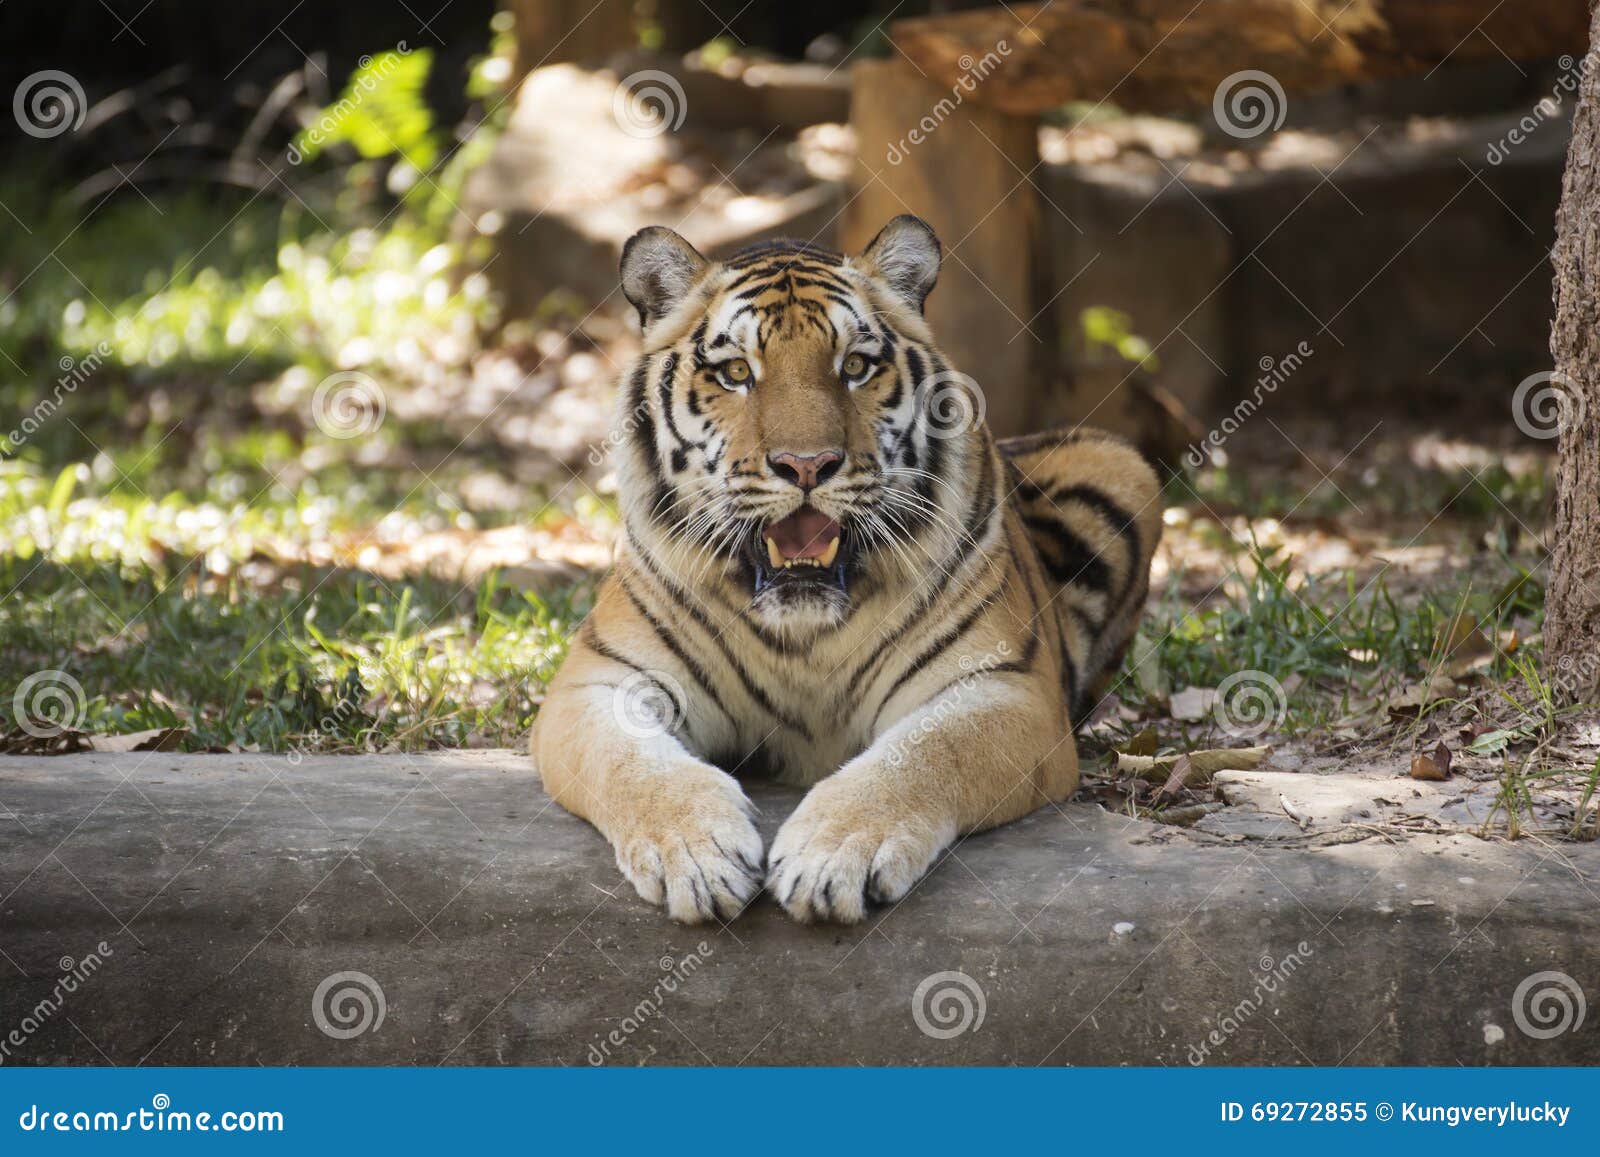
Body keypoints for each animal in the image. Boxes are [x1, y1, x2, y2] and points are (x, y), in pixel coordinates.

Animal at [532, 215, 1162, 925]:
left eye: (855, 367)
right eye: (735, 372)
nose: (807, 465)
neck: (803, 633)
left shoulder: (1003, 687)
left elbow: (925, 755)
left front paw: (831, 856)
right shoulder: (600, 682)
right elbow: (633, 764)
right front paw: (697, 853)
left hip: (1122, 464)